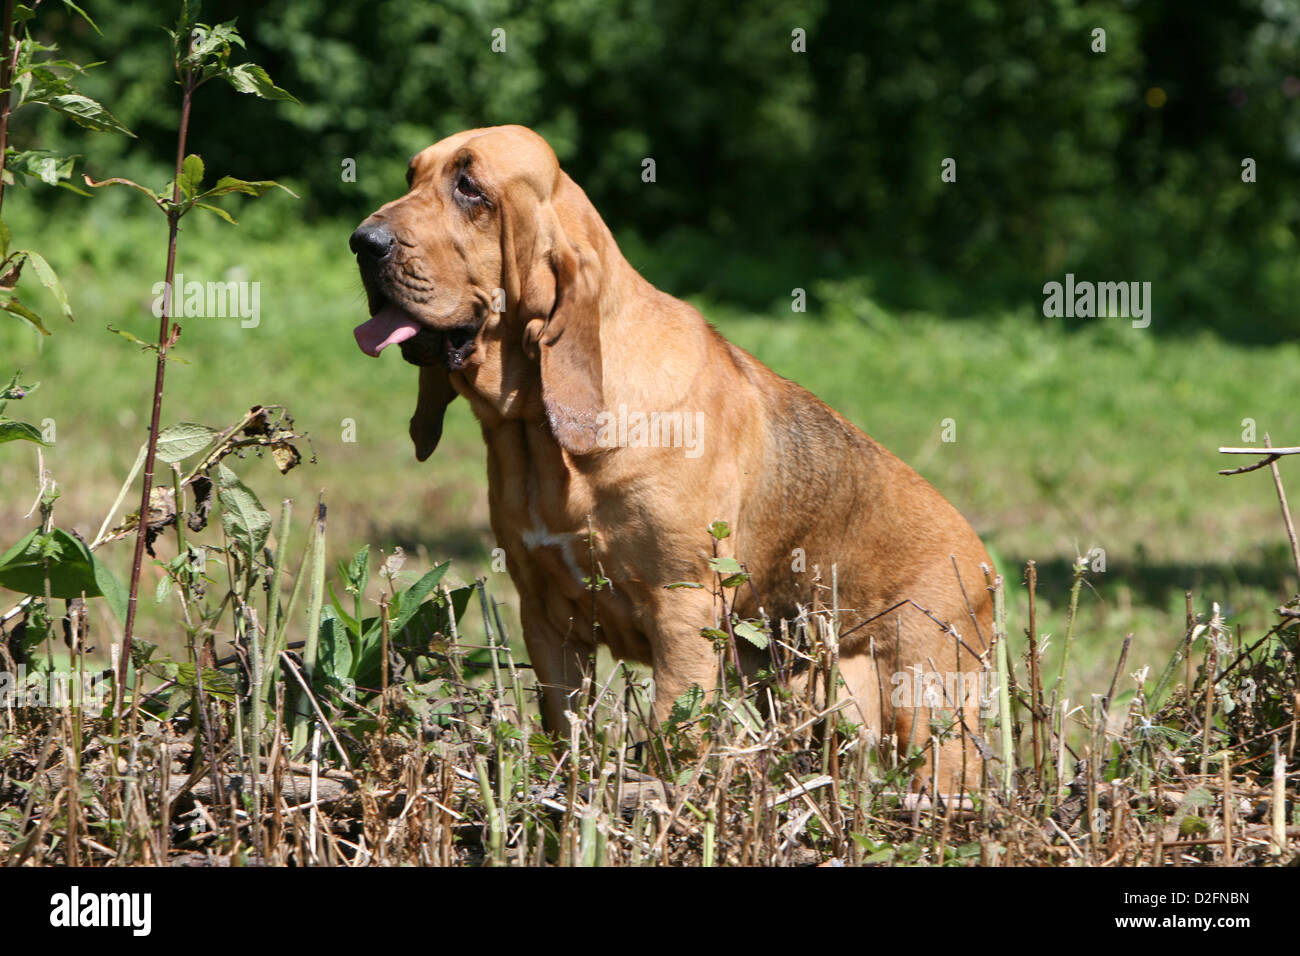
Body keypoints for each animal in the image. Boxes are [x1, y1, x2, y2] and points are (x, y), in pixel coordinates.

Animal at [351, 123, 987, 790]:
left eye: (470, 187)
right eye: (413, 176)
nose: (362, 243)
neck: (543, 440)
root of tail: (981, 560)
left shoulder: (682, 613)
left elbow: (671, 738)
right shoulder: (546, 619)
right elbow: (565, 726)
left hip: (926, 712)